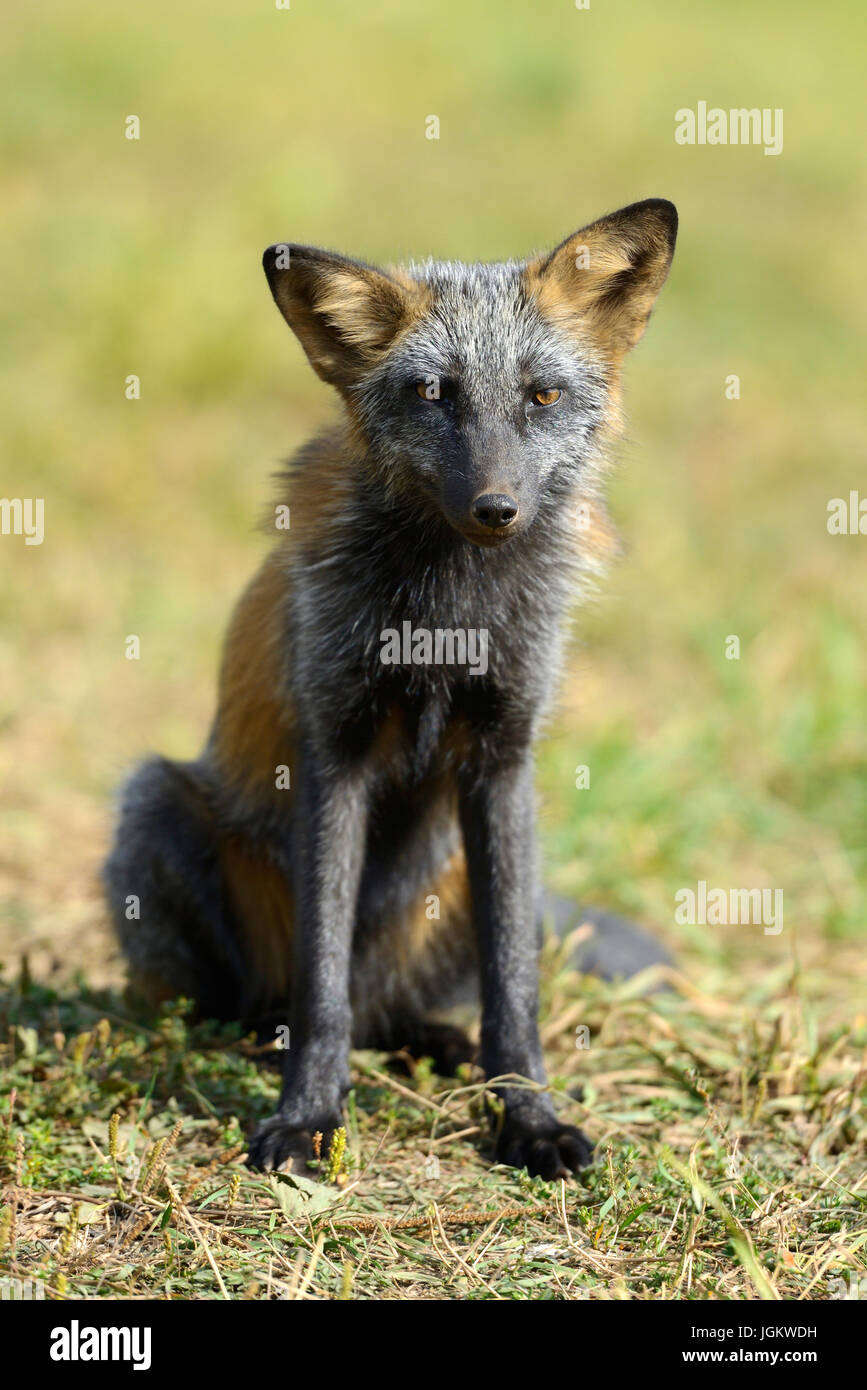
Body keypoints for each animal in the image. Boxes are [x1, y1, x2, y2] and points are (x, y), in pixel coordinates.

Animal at [104, 198, 677, 1180]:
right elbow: (320, 987)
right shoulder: (333, 753)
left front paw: (525, 1119)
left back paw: (431, 1042)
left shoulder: (503, 762)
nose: (495, 509)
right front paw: (307, 1119)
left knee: (396, 1009)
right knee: (274, 1003)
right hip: (156, 808)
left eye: (542, 396)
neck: (447, 619)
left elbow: (513, 997)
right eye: (433, 393)